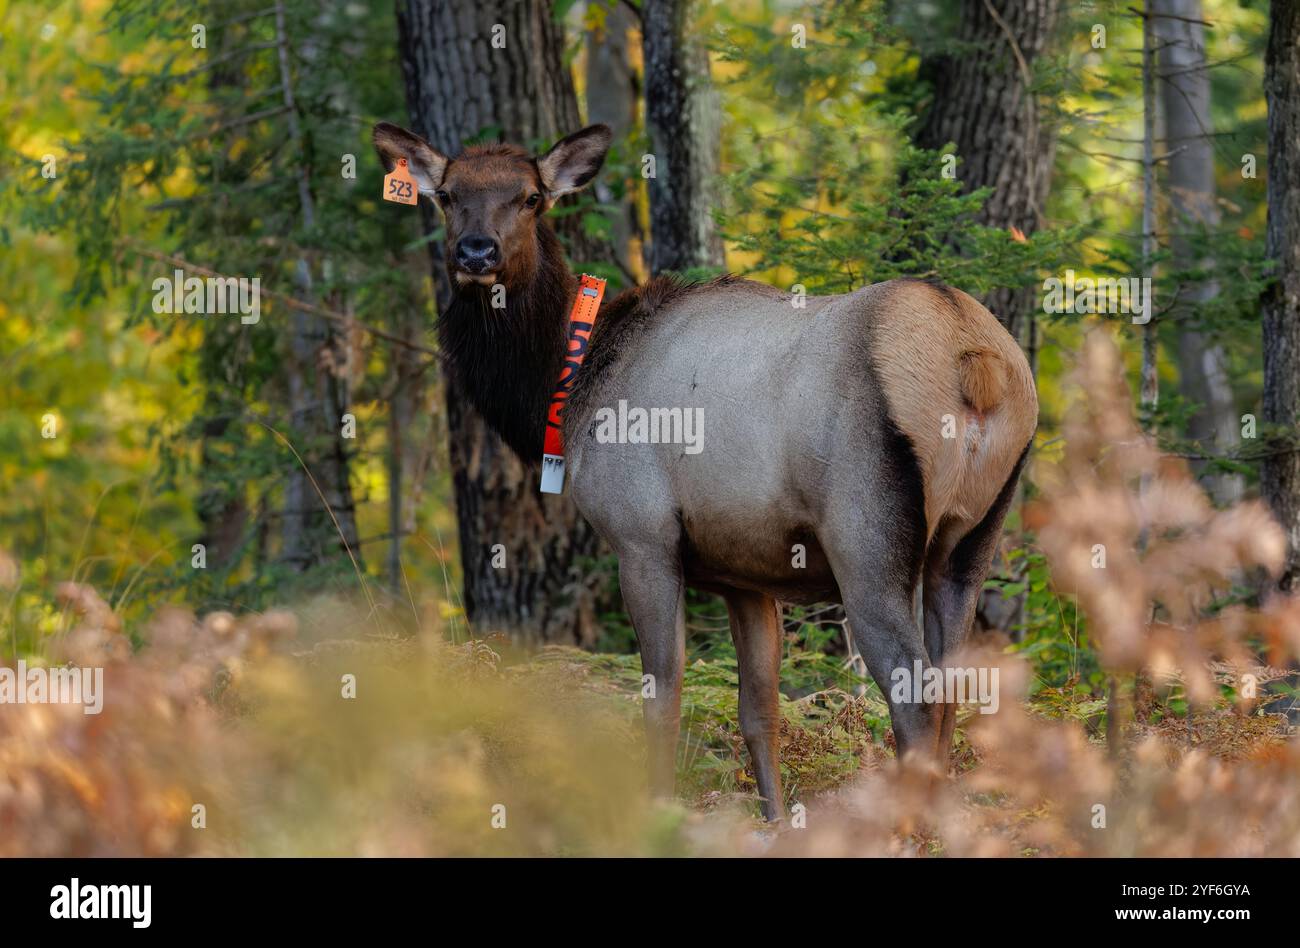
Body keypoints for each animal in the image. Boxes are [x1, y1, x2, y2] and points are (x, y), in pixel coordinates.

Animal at [373, 120, 1038, 823]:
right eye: (448, 195)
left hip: (867, 532)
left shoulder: (641, 536)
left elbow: (661, 700)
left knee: (914, 693)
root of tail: (976, 361)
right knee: (955, 682)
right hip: (973, 537)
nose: (476, 252)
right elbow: (759, 713)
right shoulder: (746, 574)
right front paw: (773, 818)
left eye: (530, 198)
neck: (568, 386)